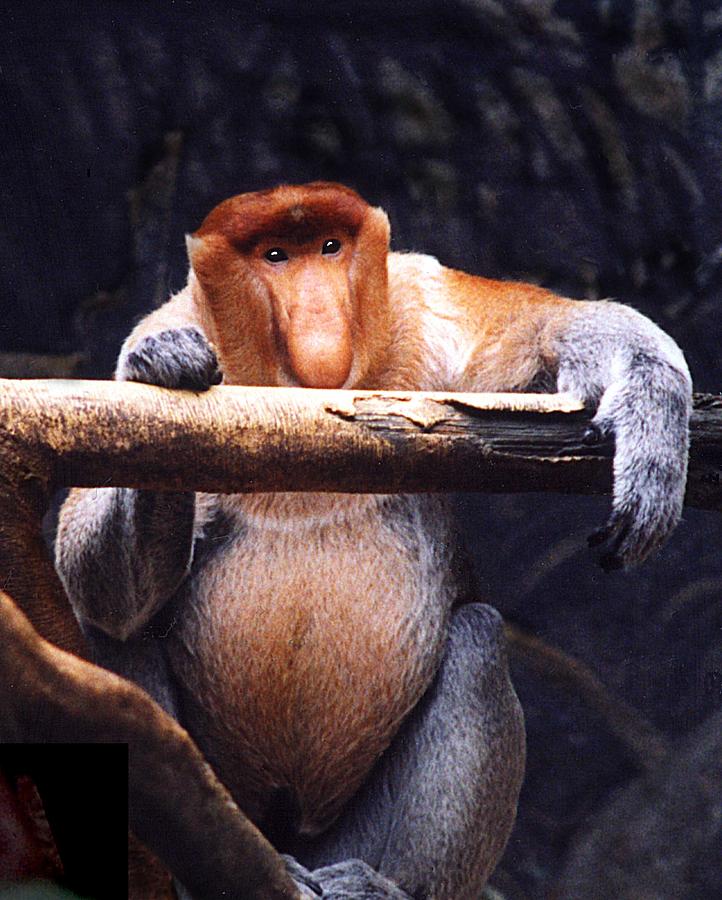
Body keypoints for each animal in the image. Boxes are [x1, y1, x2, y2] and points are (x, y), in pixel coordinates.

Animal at [55, 182, 692, 899]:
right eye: (275, 255)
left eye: (330, 246)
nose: (319, 315)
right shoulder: (157, 323)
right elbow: (100, 583)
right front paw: (165, 370)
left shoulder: (422, 300)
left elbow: (549, 330)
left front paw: (650, 416)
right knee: (120, 636)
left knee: (476, 642)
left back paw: (386, 886)